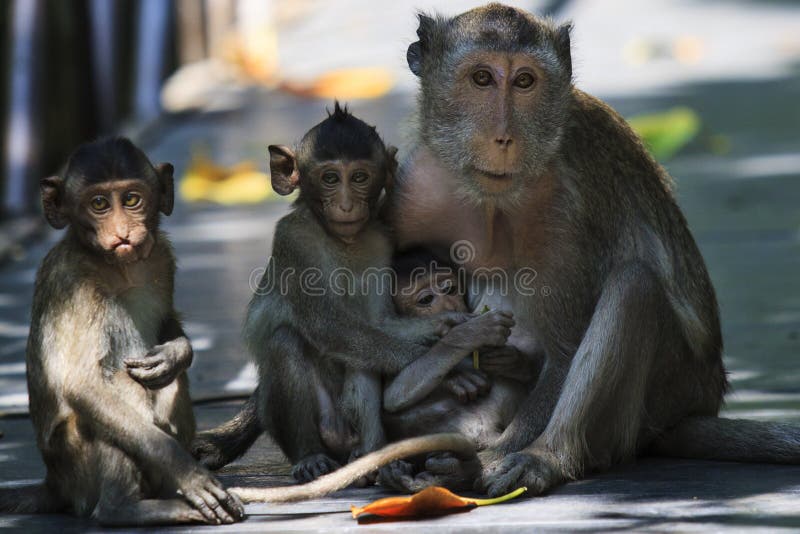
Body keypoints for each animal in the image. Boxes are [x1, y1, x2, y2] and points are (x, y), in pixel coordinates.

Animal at [0, 137, 244, 526]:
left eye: (131, 199)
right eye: (99, 204)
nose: (122, 232)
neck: (118, 267)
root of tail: (54, 483)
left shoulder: (161, 256)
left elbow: (167, 330)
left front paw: (177, 352)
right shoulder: (74, 285)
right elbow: (80, 382)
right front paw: (189, 473)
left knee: (166, 381)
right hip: (77, 468)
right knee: (119, 384)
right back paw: (126, 508)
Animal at [385, 3, 800, 497]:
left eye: (524, 81)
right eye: (481, 78)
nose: (503, 138)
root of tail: (697, 404)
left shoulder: (563, 208)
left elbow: (566, 350)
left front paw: (488, 456)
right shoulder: (413, 188)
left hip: (665, 391)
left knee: (635, 288)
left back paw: (543, 458)